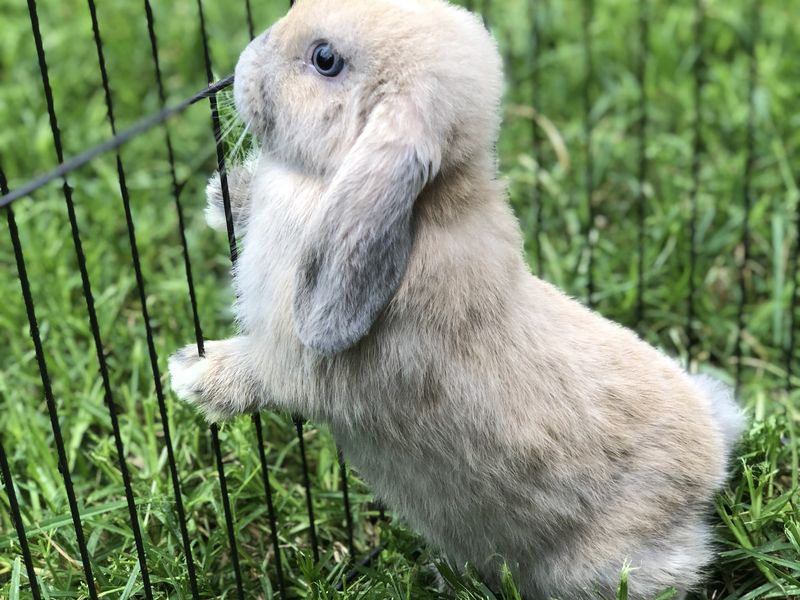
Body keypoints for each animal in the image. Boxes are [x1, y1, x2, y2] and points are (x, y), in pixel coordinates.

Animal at [168, 0, 744, 598]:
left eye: (325, 59)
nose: (242, 66)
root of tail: (711, 462)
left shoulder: (304, 365)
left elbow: (264, 373)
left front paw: (194, 374)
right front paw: (224, 195)